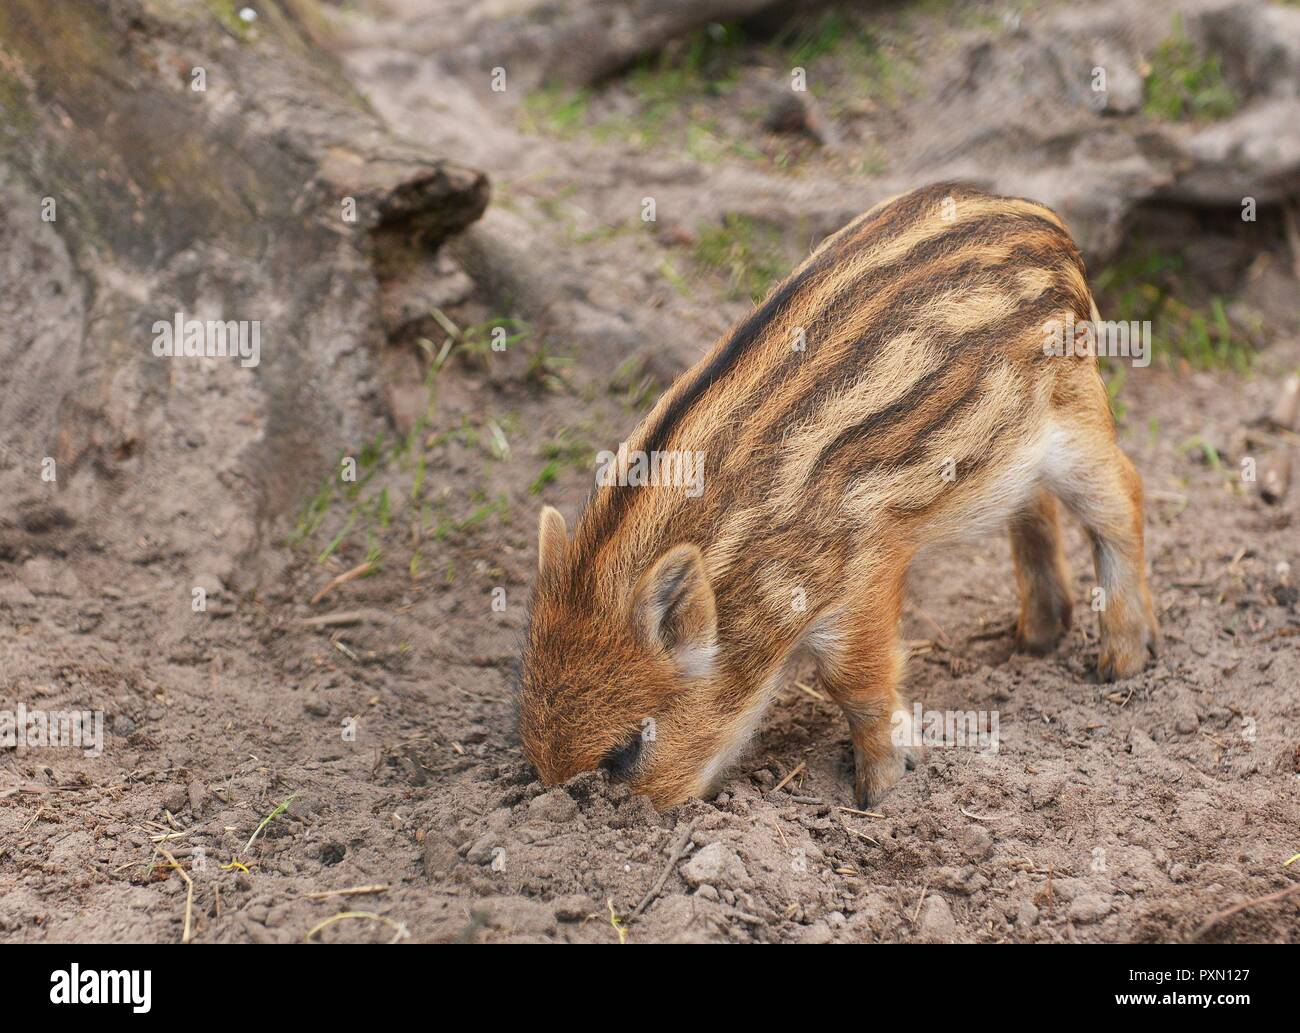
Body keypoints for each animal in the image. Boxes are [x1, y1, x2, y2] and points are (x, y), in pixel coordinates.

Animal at [518, 182, 1159, 809]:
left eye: (624, 753)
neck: (735, 559)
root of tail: (1044, 219)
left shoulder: (865, 568)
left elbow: (854, 681)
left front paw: (882, 791)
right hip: (1011, 449)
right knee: (1035, 508)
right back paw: (1036, 640)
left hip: (1074, 409)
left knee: (1122, 497)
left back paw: (1122, 663)